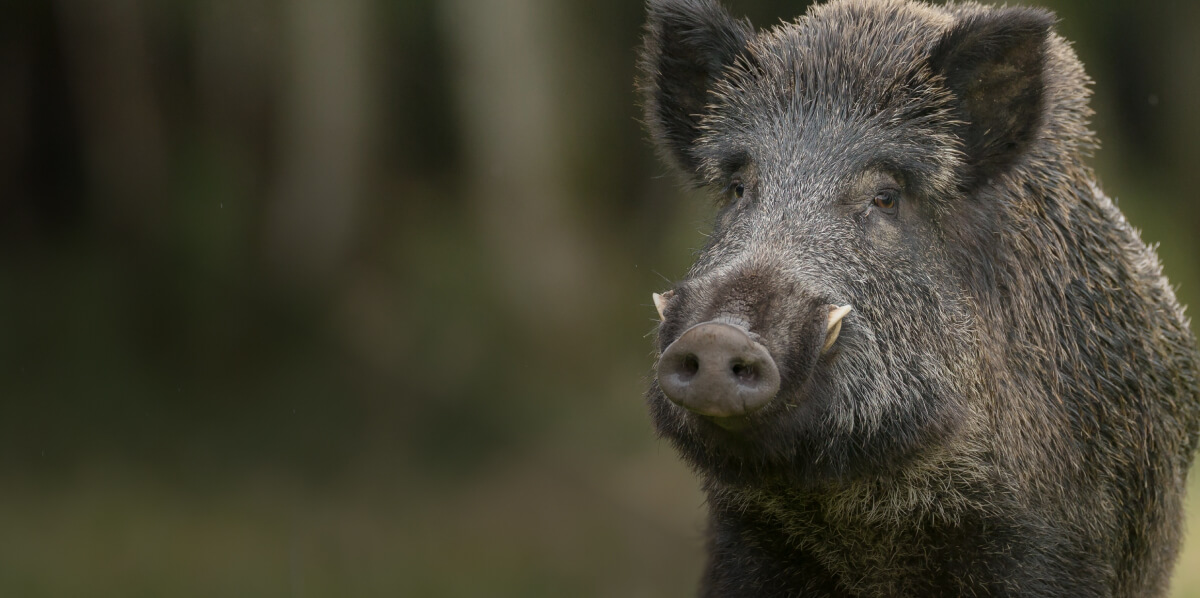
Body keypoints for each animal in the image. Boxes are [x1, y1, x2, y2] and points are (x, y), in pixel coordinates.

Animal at [638, 0, 1200, 596]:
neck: (862, 503)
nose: (718, 335)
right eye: (739, 189)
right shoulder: (748, 538)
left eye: (886, 197)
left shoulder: (1051, 546)